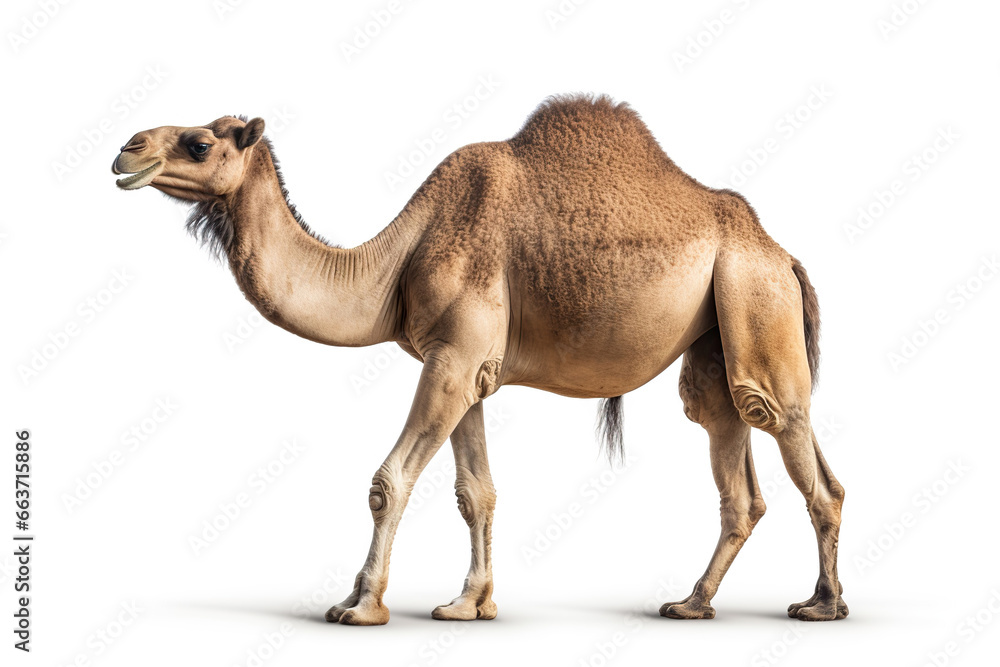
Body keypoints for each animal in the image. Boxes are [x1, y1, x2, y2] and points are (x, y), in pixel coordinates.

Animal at [112, 95, 847, 625]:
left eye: (200, 142)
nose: (125, 150)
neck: (397, 258)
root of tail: (783, 253)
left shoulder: (455, 360)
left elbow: (388, 481)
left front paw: (360, 605)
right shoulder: (463, 368)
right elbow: (476, 492)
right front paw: (469, 603)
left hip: (755, 298)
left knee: (792, 439)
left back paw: (821, 604)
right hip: (717, 337)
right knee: (734, 462)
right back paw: (692, 603)